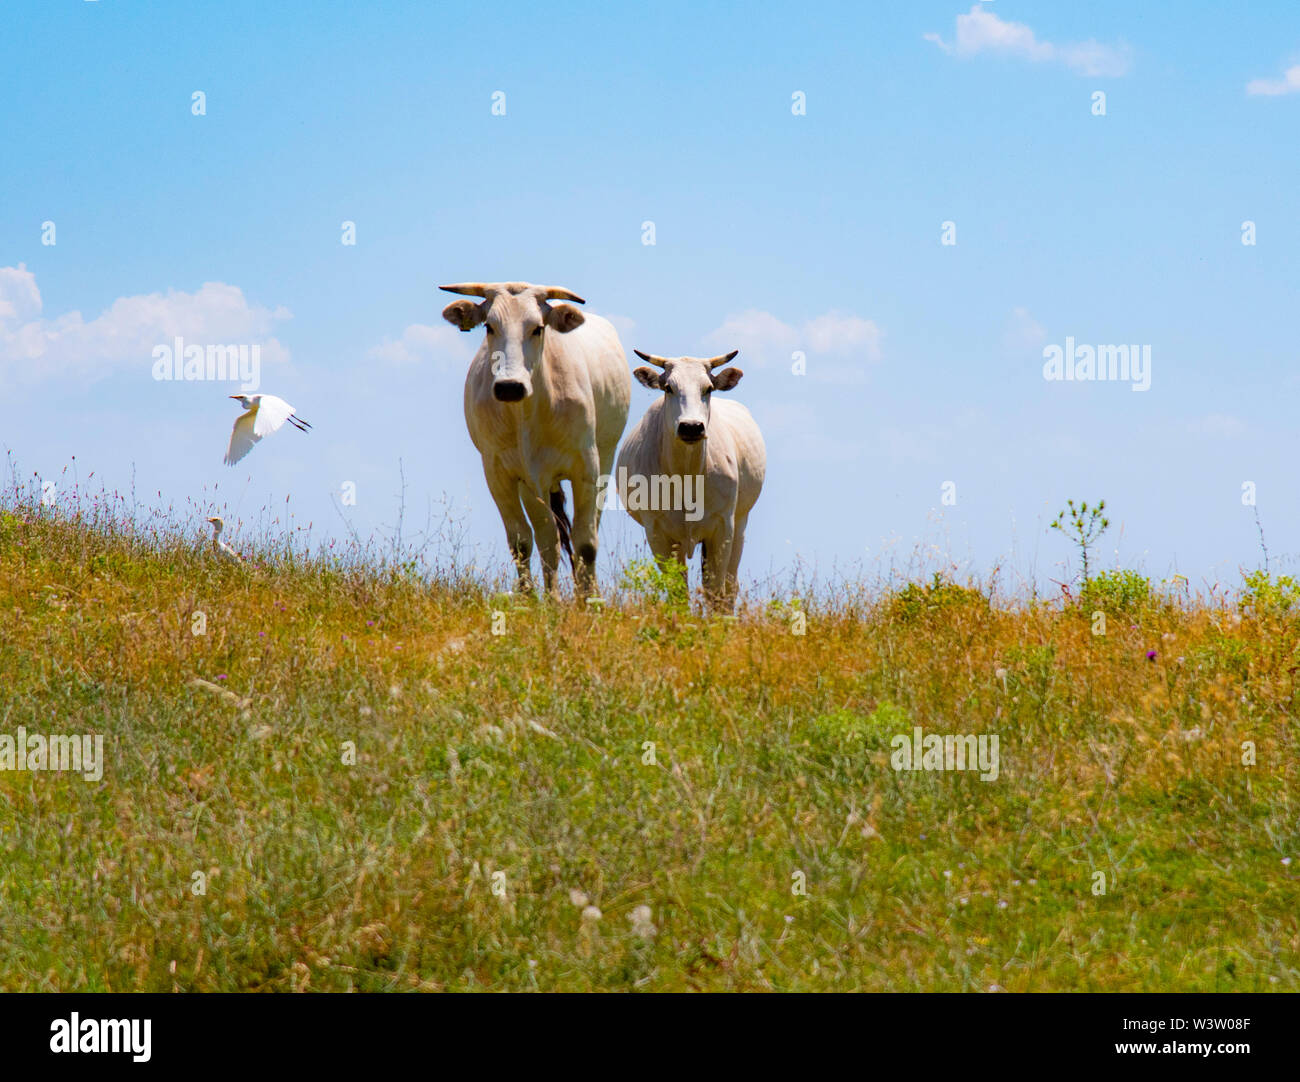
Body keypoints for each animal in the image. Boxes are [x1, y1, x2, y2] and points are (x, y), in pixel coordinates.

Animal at [441, 281, 630, 598]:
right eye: (489, 326)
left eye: (538, 328)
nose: (509, 386)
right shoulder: (500, 472)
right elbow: (524, 541)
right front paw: (533, 599)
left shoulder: (586, 467)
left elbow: (585, 542)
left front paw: (588, 600)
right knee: (546, 538)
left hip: (605, 456)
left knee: (588, 526)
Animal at [615, 349, 765, 610]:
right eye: (668, 387)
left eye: (708, 388)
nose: (692, 427)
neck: (686, 476)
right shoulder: (658, 531)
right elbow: (677, 591)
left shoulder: (723, 526)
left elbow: (716, 590)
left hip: (740, 523)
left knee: (729, 587)